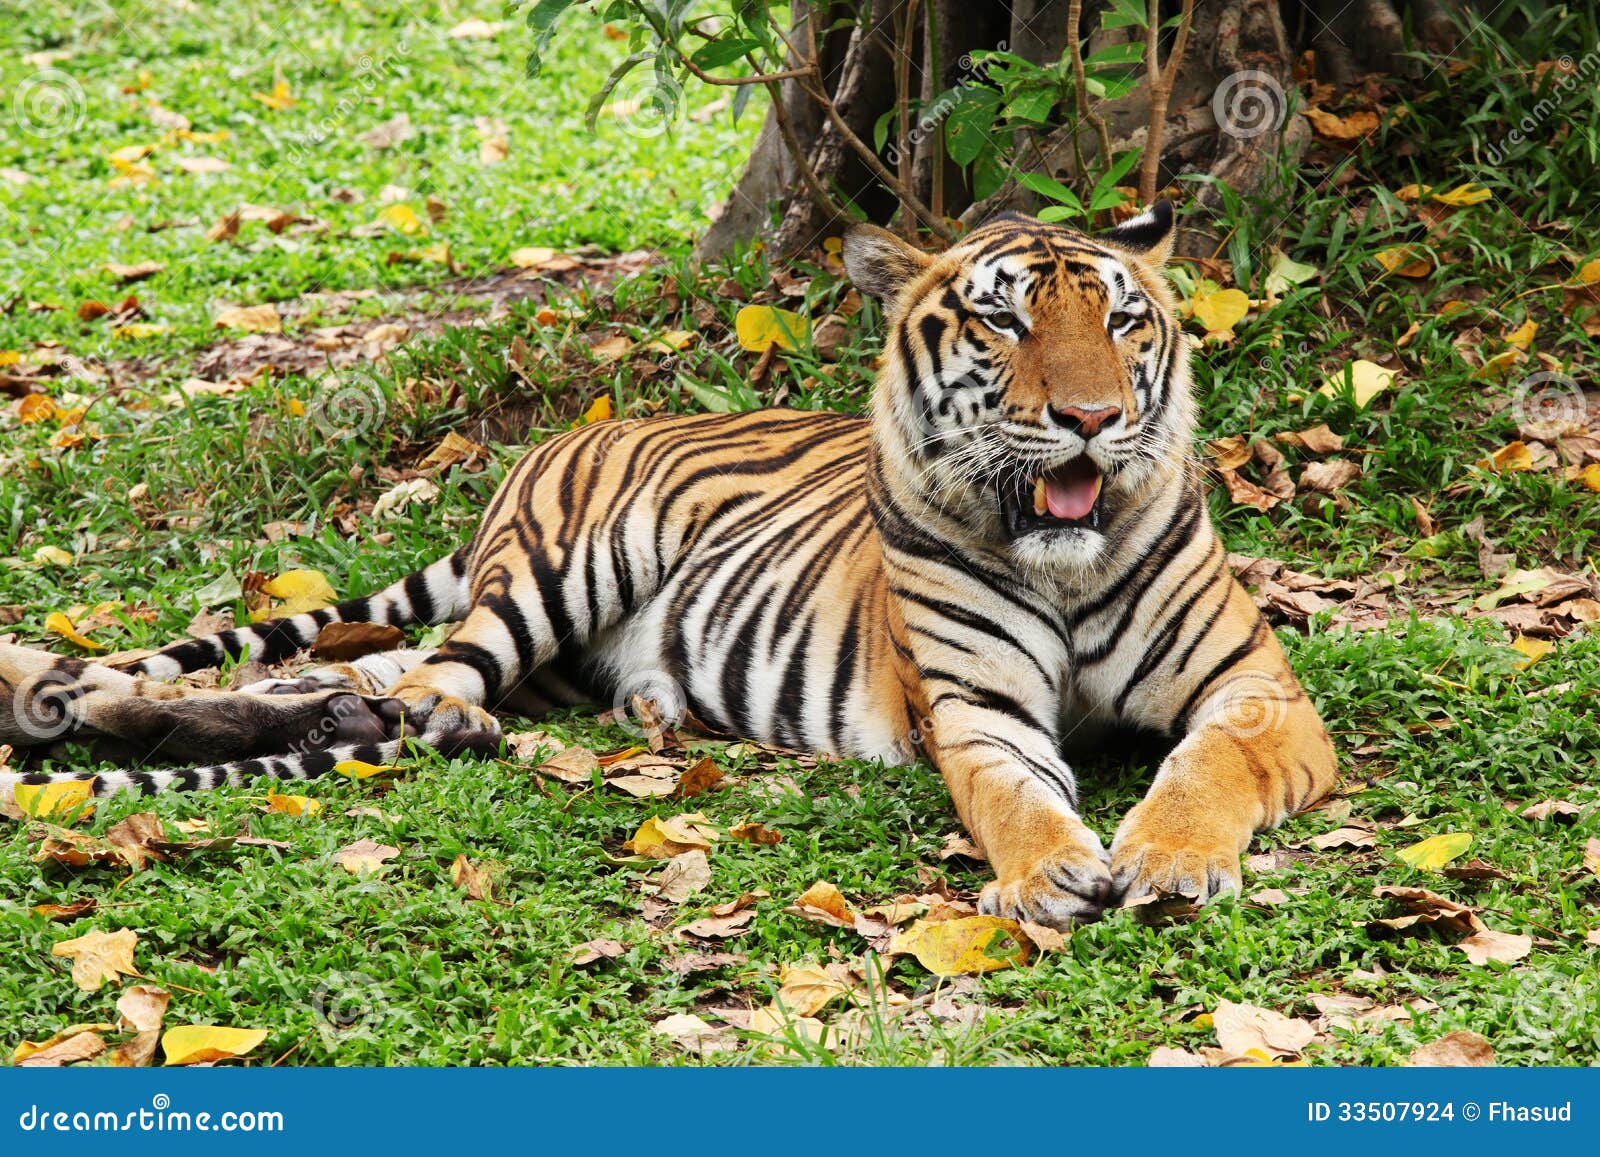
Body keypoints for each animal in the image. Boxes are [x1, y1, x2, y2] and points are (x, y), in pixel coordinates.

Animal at [0, 201, 1337, 928]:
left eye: (1122, 321)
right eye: (1003, 320)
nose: (1091, 420)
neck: (1060, 556)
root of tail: (558, 436)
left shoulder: (1255, 689)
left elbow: (1204, 767)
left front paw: (1169, 861)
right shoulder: (978, 709)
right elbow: (1014, 793)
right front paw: (1056, 869)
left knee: (342, 679)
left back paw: (110, 714)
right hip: (558, 576)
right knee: (426, 673)